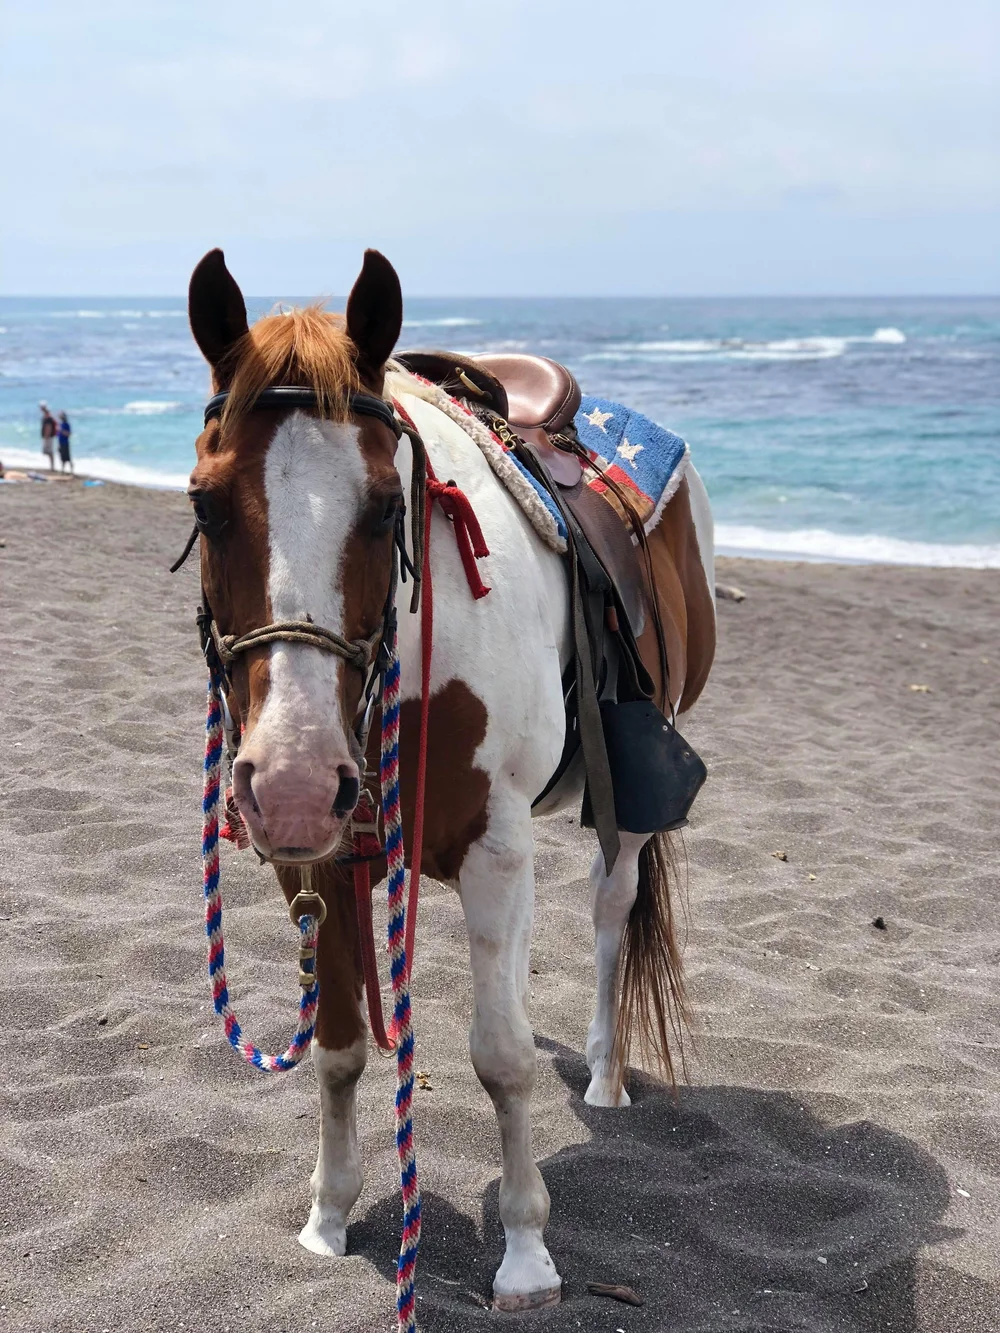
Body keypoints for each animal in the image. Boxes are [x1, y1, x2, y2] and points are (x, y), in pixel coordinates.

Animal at [185, 246, 716, 1311]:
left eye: (389, 507)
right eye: (204, 505)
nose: (292, 780)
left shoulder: (492, 848)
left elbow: (501, 1056)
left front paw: (525, 1254)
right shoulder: (323, 857)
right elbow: (341, 1047)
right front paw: (327, 1216)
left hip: (632, 798)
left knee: (610, 913)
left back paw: (606, 1075)